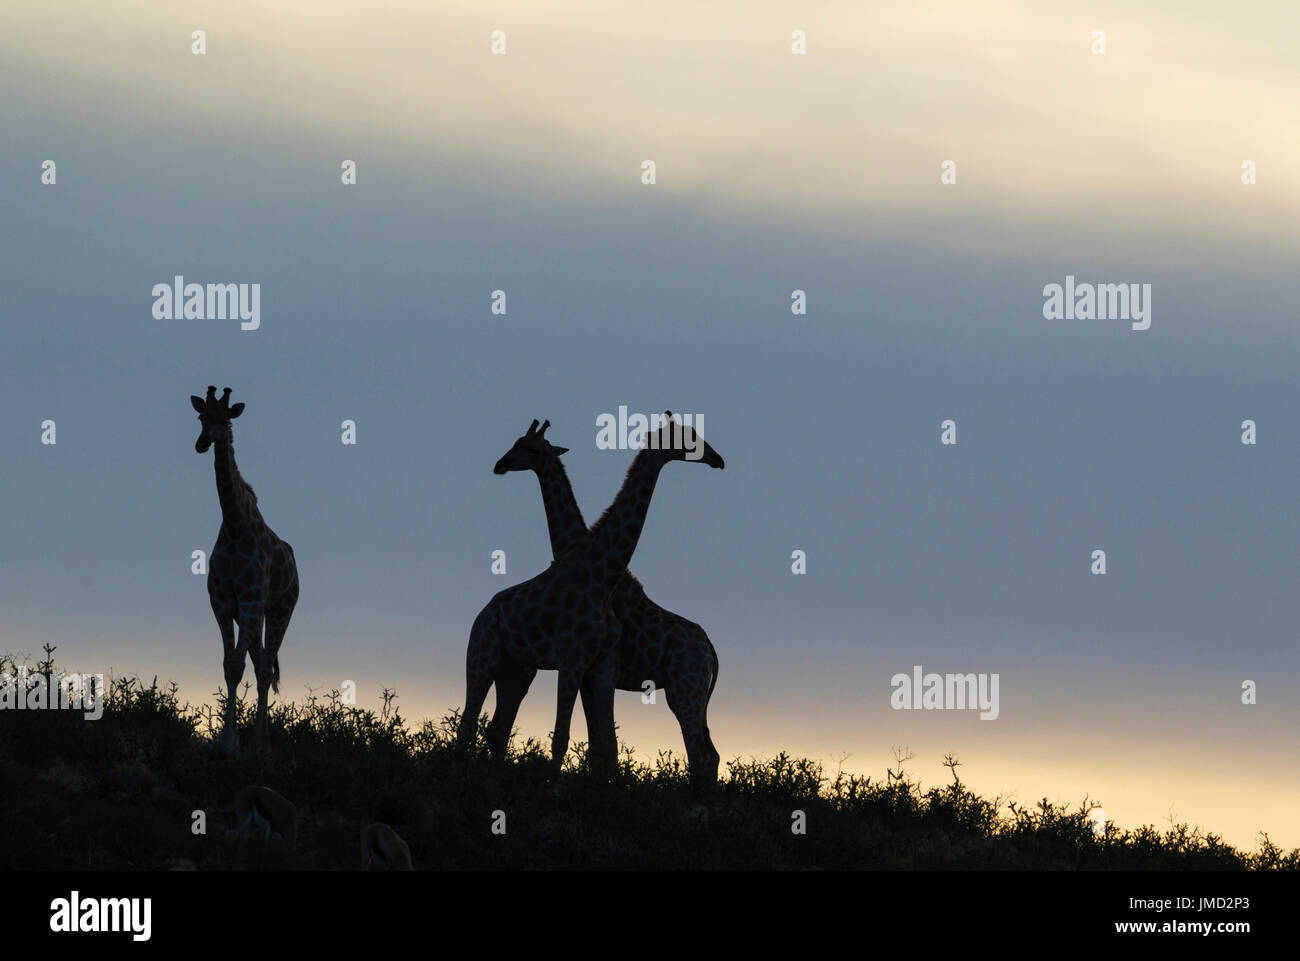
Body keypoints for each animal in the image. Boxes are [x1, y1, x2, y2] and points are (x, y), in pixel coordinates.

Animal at [191, 386, 299, 752]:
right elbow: (229, 665)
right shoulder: (223, 604)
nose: (201, 443)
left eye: (225, 420)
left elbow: (237, 665)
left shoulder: (251, 601)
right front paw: (228, 740)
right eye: (201, 416)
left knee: (265, 667)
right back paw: (257, 741)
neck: (236, 525)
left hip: (281, 609)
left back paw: (261, 745)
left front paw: (230, 742)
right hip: (255, 615)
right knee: (261, 663)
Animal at [459, 413, 724, 777]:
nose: (501, 464)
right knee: (473, 724)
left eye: (529, 447)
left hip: (684, 690)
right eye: (690, 436)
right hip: (487, 656)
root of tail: (711, 650)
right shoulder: (584, 666)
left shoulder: (594, 666)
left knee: (703, 755)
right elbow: (592, 744)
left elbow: (598, 745)